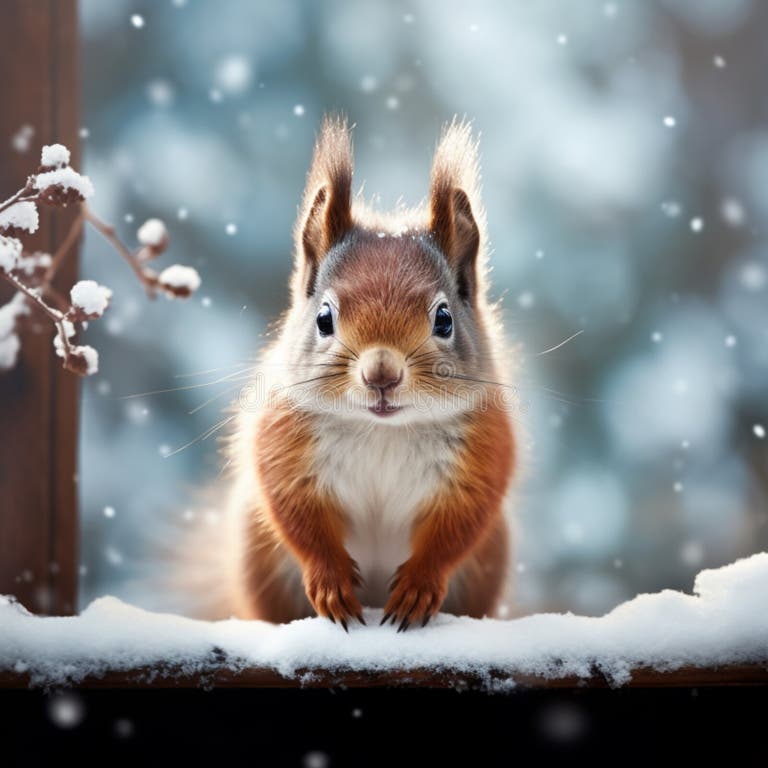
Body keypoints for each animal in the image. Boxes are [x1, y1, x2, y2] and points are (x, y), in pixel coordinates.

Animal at [202, 116, 517, 631]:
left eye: (444, 319)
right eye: (324, 318)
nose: (381, 374)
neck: (382, 431)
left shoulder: (483, 450)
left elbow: (458, 525)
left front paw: (418, 586)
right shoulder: (283, 441)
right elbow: (298, 516)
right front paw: (330, 583)